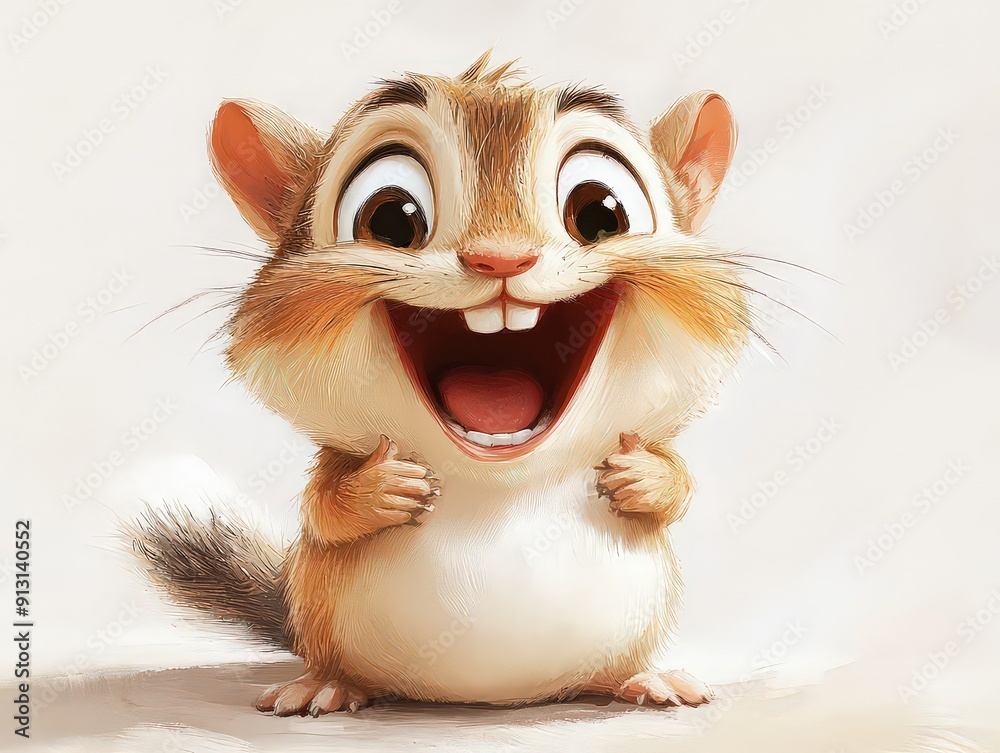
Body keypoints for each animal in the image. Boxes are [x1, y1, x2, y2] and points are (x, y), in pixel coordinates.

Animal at [131, 51, 750, 717]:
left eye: (600, 213)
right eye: (390, 218)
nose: (501, 258)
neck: (499, 484)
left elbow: (680, 486)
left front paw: (641, 477)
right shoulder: (333, 461)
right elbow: (322, 509)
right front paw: (382, 487)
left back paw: (649, 679)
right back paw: (326, 685)